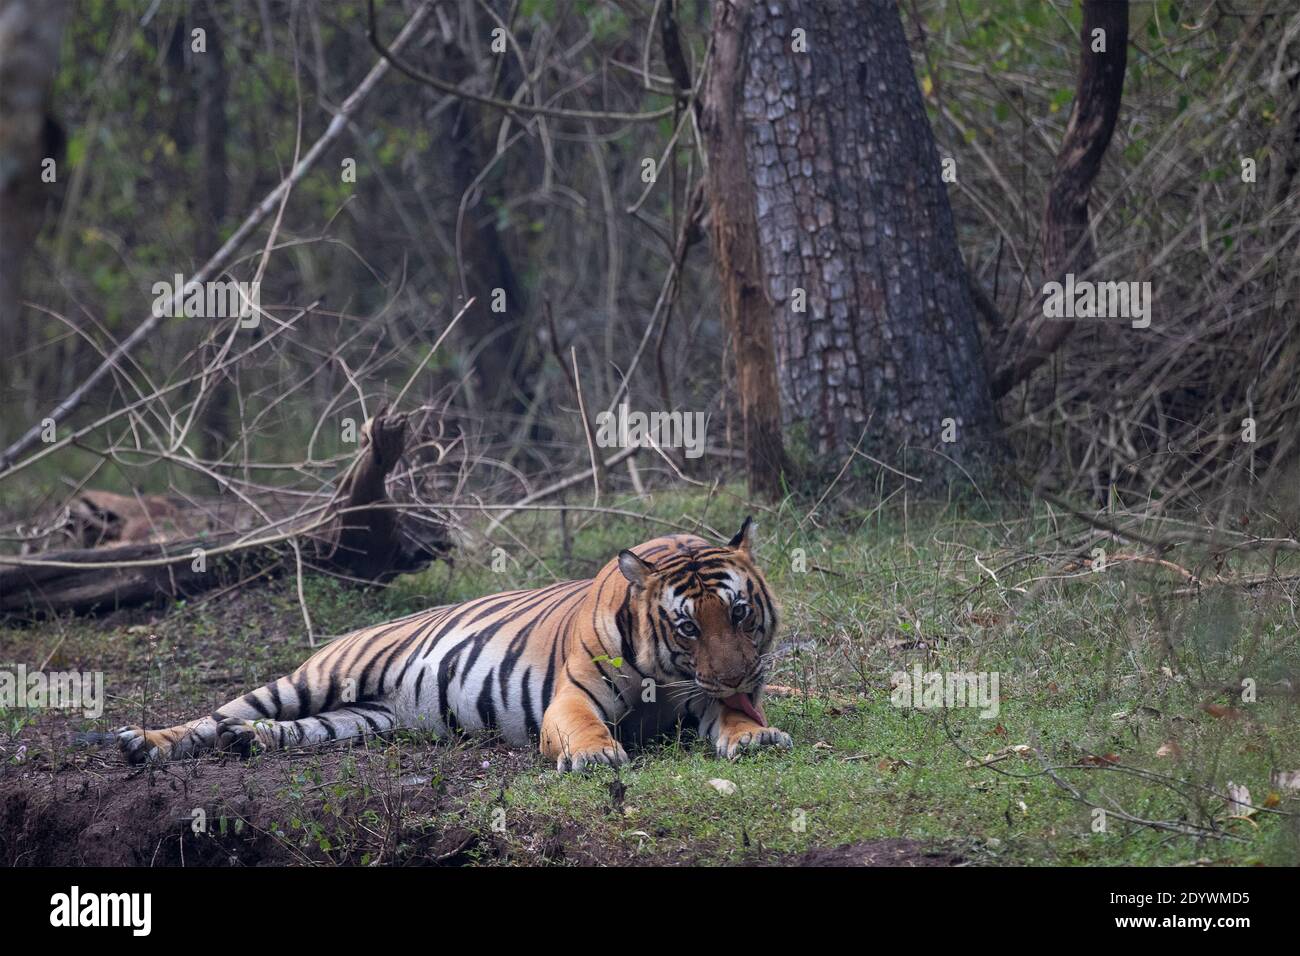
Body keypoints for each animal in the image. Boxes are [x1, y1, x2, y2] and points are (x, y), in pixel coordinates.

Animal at [106, 517, 791, 771]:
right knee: (216, 714)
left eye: (739, 613)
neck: (664, 680)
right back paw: (144, 741)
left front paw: (754, 735)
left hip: (360, 719)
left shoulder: (717, 690)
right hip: (312, 679)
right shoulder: (571, 699)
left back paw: (249, 742)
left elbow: (733, 714)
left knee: (290, 729)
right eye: (687, 627)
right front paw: (595, 756)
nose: (735, 675)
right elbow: (586, 729)